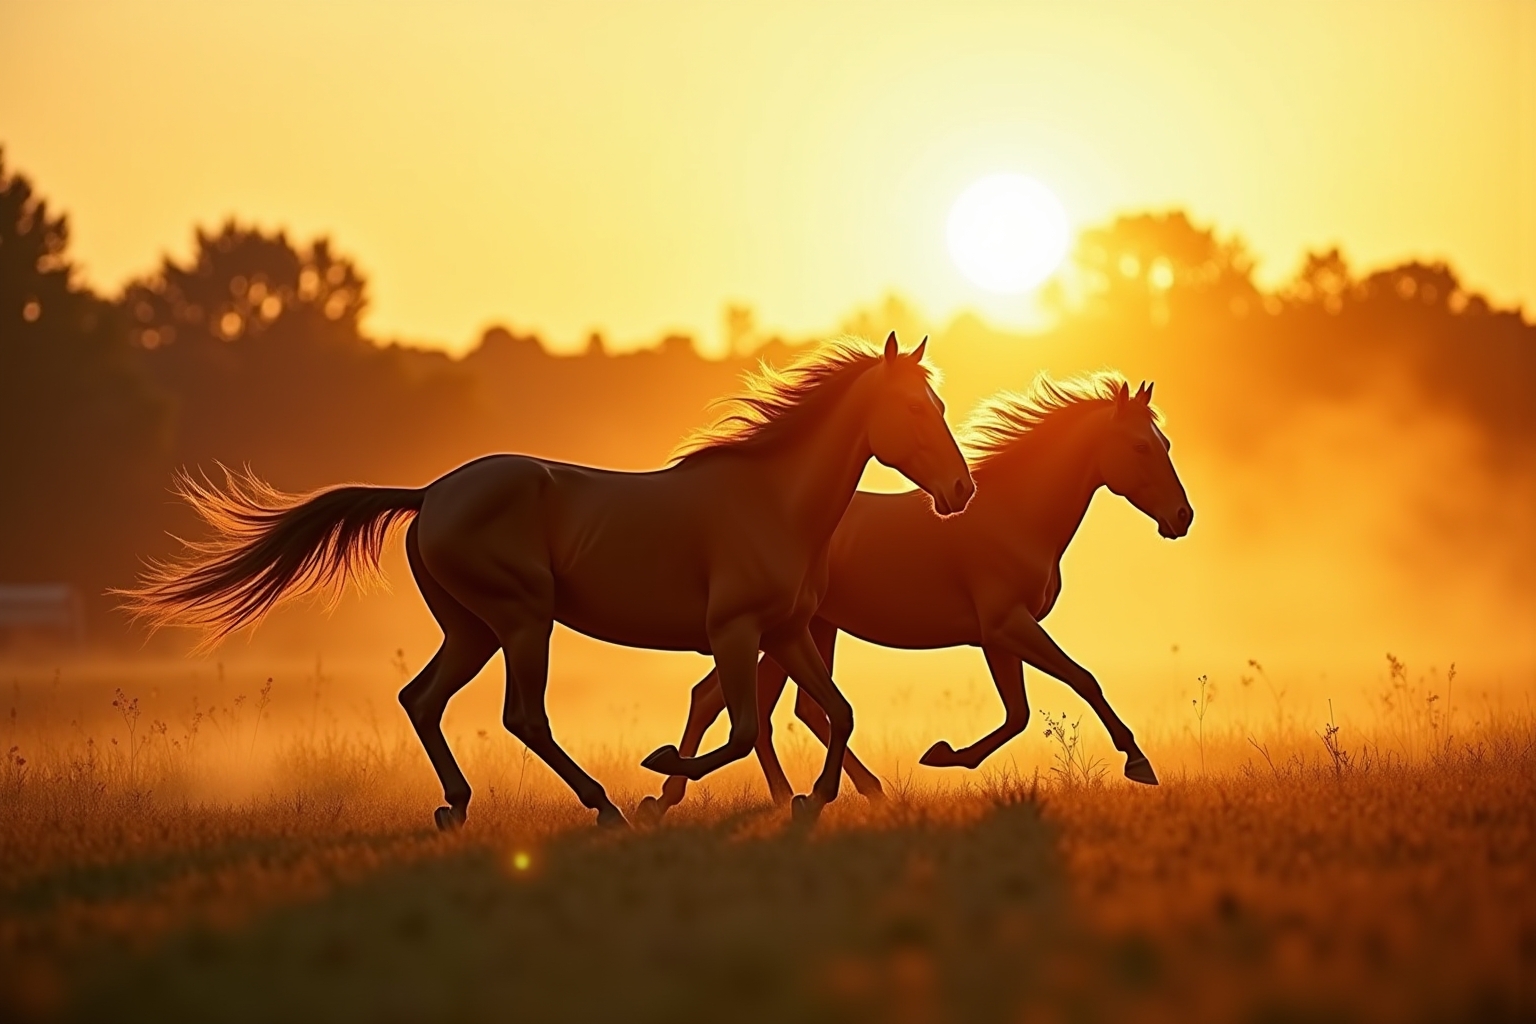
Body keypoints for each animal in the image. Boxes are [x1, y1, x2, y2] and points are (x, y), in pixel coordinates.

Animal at [118, 334, 974, 829]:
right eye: (913, 405)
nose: (960, 491)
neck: (772, 500)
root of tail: (430, 494)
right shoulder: (734, 633)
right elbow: (742, 728)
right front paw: (662, 776)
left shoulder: (789, 631)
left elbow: (835, 711)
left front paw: (815, 801)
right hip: (523, 620)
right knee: (523, 716)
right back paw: (605, 807)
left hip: (472, 628)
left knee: (422, 699)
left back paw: (458, 806)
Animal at [640, 374, 1192, 819]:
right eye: (1141, 447)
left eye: (1165, 441)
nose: (1183, 517)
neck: (1015, 514)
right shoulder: (1007, 625)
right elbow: (1082, 681)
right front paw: (1139, 762)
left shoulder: (997, 637)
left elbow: (1018, 714)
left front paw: (943, 755)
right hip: (779, 631)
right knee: (733, 701)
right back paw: (681, 796)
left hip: (806, 630)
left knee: (774, 706)